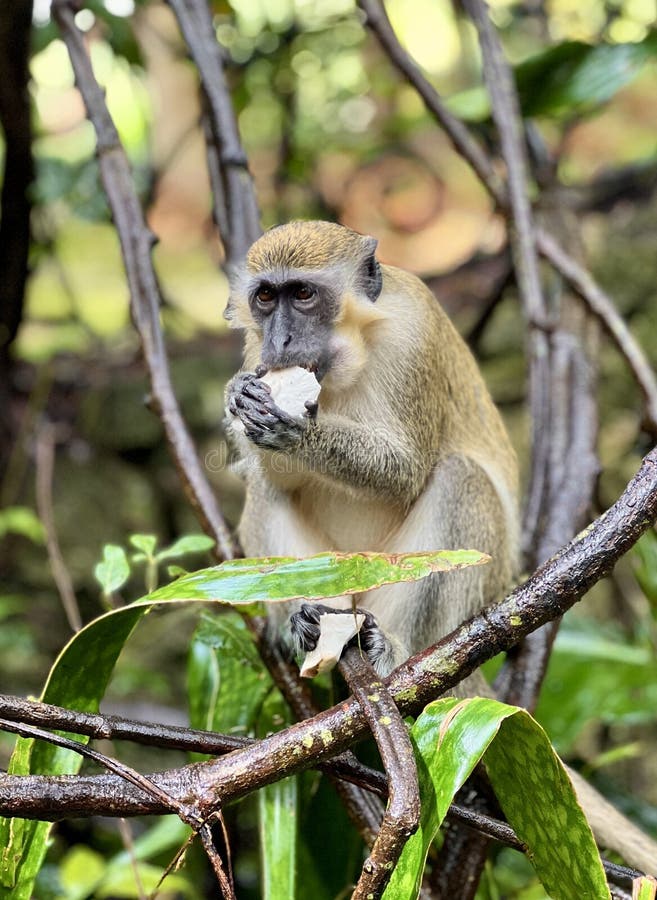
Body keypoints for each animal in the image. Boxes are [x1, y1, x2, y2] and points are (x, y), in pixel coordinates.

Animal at [224, 220, 657, 873]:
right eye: (265, 298)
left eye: (302, 295)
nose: (281, 339)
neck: (351, 351)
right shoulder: (257, 358)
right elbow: (272, 477)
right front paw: (243, 408)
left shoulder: (414, 339)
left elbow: (406, 470)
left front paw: (295, 427)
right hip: (340, 573)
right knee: (268, 493)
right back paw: (303, 621)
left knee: (460, 478)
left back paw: (395, 654)